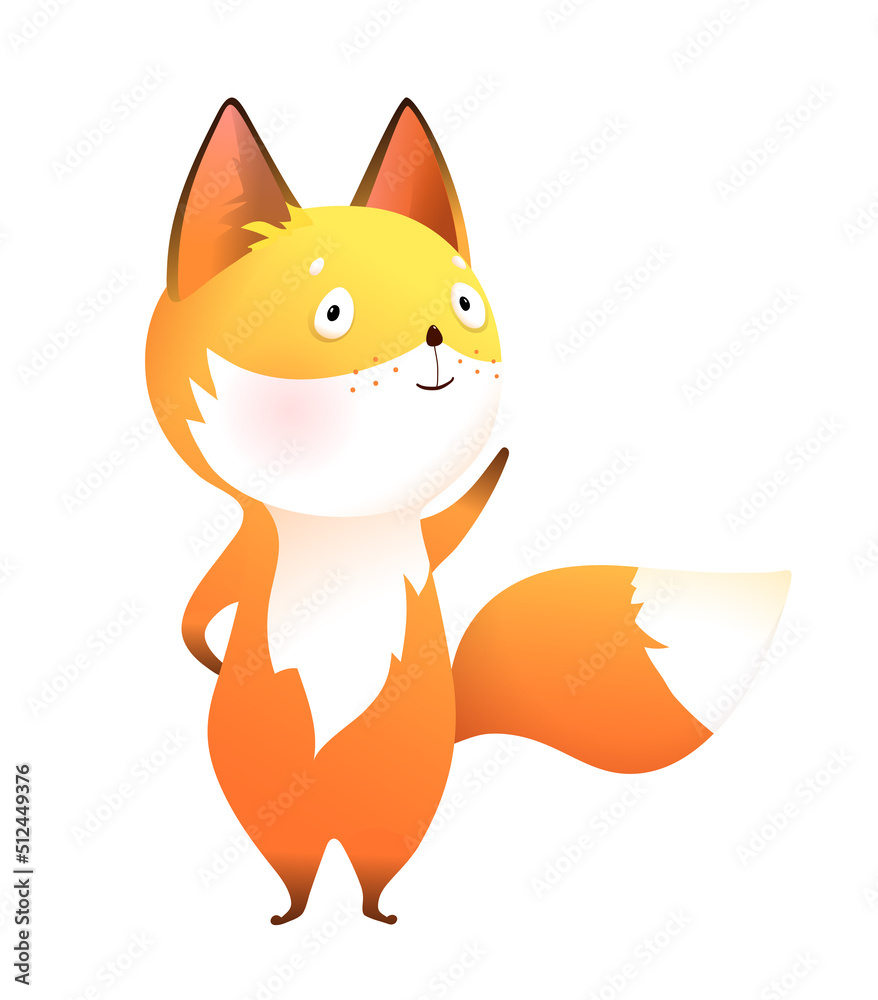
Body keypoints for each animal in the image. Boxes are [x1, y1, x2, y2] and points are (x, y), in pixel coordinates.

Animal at [145, 97, 791, 925]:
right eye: (331, 313)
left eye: (464, 304)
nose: (434, 333)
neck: (346, 529)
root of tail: (331, 827)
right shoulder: (255, 541)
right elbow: (208, 600)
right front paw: (210, 649)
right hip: (270, 782)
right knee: (294, 863)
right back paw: (298, 906)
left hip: (397, 794)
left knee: (373, 865)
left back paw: (372, 906)